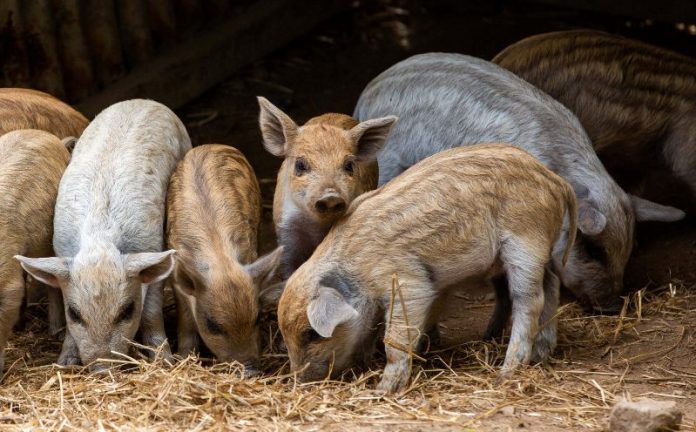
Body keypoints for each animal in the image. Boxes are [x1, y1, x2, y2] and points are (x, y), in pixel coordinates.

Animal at [16, 99, 191, 370]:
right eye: (74, 313)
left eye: (127, 310)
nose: (101, 369)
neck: (100, 241)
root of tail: (143, 100)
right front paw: (65, 363)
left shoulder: (152, 245)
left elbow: (151, 313)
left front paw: (164, 362)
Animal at [166, 144, 282, 373]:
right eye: (212, 325)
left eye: (256, 318)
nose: (251, 371)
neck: (219, 258)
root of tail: (212, 145)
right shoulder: (176, 280)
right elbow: (186, 320)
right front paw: (184, 357)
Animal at [278, 144, 577, 392]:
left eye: (311, 334)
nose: (299, 382)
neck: (357, 268)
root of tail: (556, 180)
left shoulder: (408, 283)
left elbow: (394, 339)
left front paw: (382, 391)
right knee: (551, 282)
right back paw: (539, 355)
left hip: (525, 242)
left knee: (530, 301)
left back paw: (505, 374)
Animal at [354, 53, 684, 332]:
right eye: (592, 249)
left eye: (629, 249)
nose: (612, 306)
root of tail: (369, 90)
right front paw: (490, 333)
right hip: (388, 162)